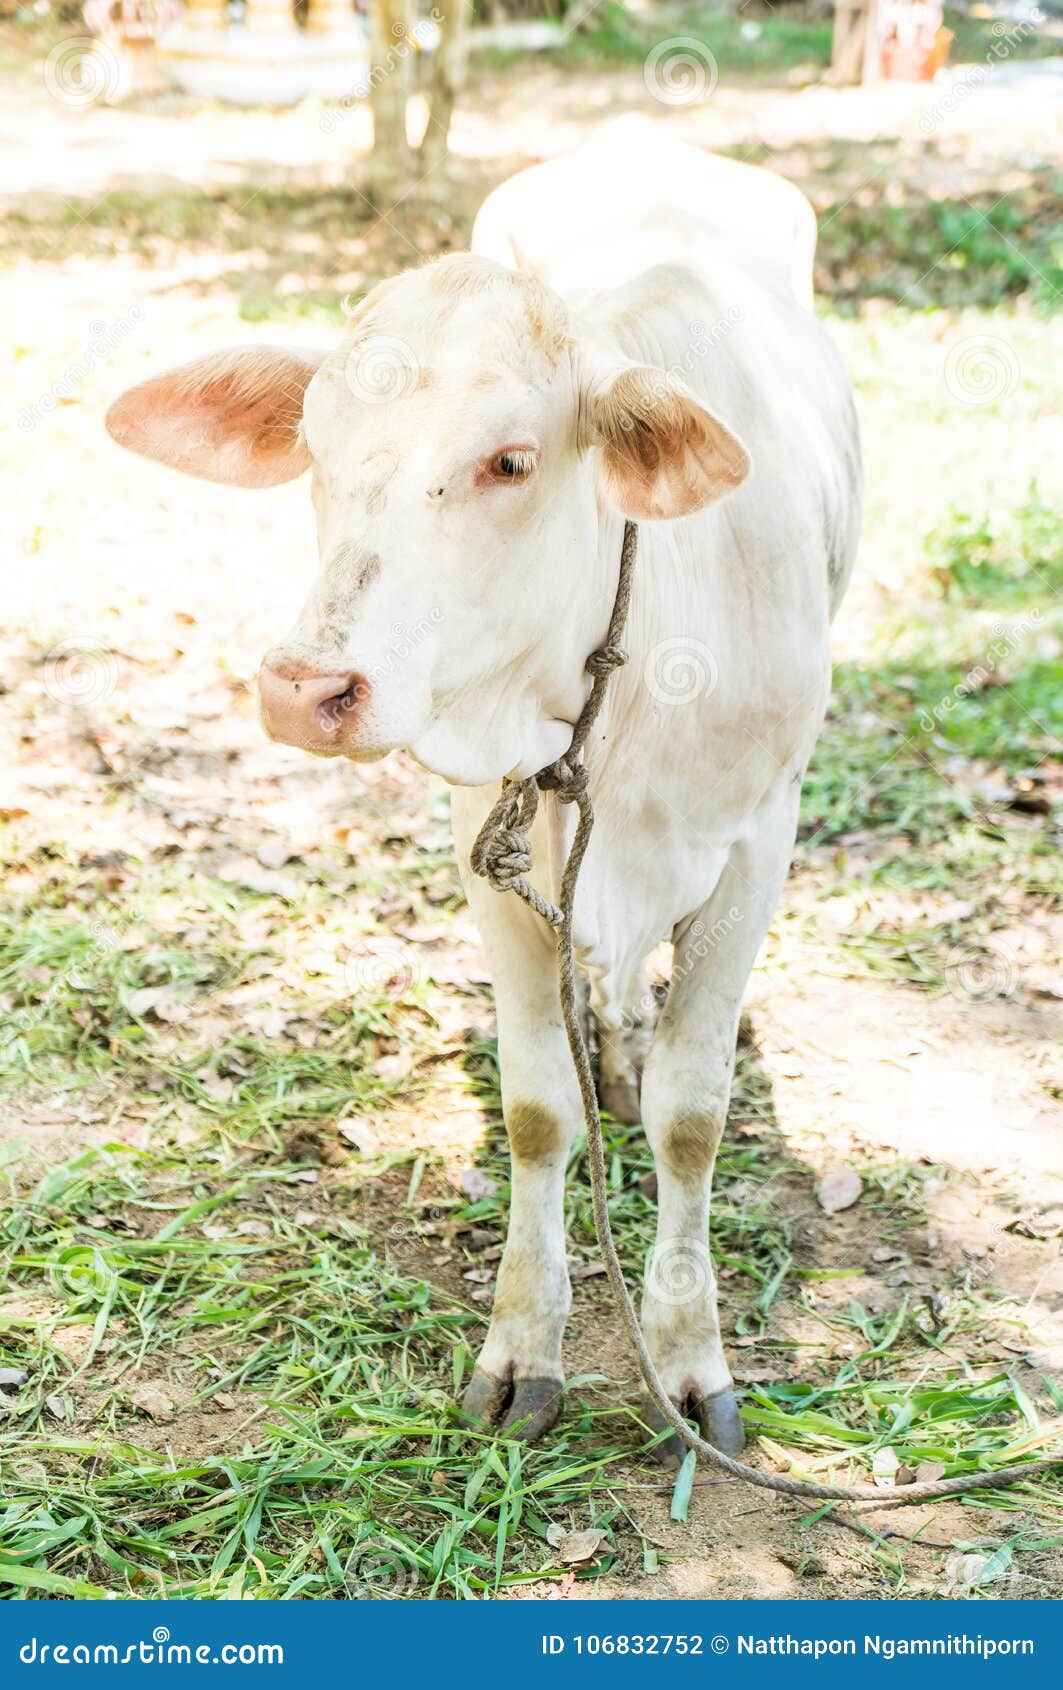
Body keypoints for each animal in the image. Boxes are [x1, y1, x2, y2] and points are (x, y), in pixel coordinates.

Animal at [106, 122, 861, 1460]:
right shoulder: (491, 838)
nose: (305, 688)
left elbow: (692, 1114)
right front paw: (526, 1346)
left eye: (509, 459)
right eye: (311, 450)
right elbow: (536, 1110)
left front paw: (687, 1358)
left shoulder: (757, 839)